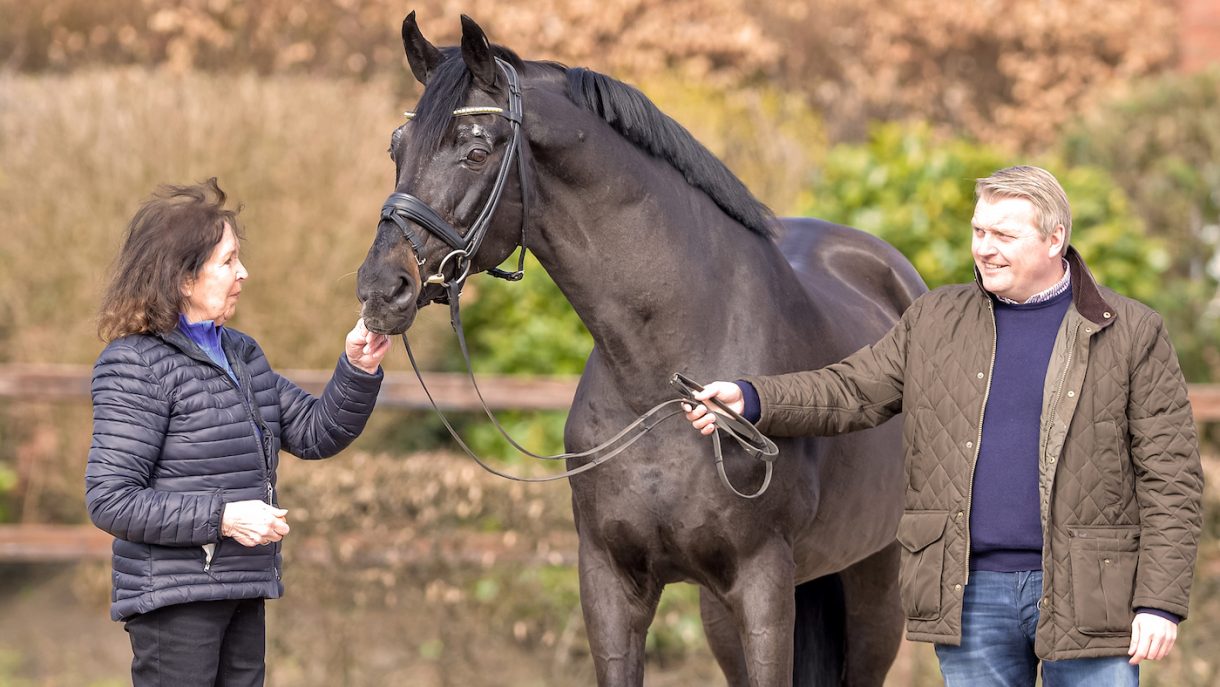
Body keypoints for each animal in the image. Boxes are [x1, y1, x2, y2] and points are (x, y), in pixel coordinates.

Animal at [356, 13, 928, 686]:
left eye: (475, 151)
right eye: (397, 148)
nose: (381, 288)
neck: (659, 374)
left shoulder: (763, 585)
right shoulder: (609, 584)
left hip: (873, 585)